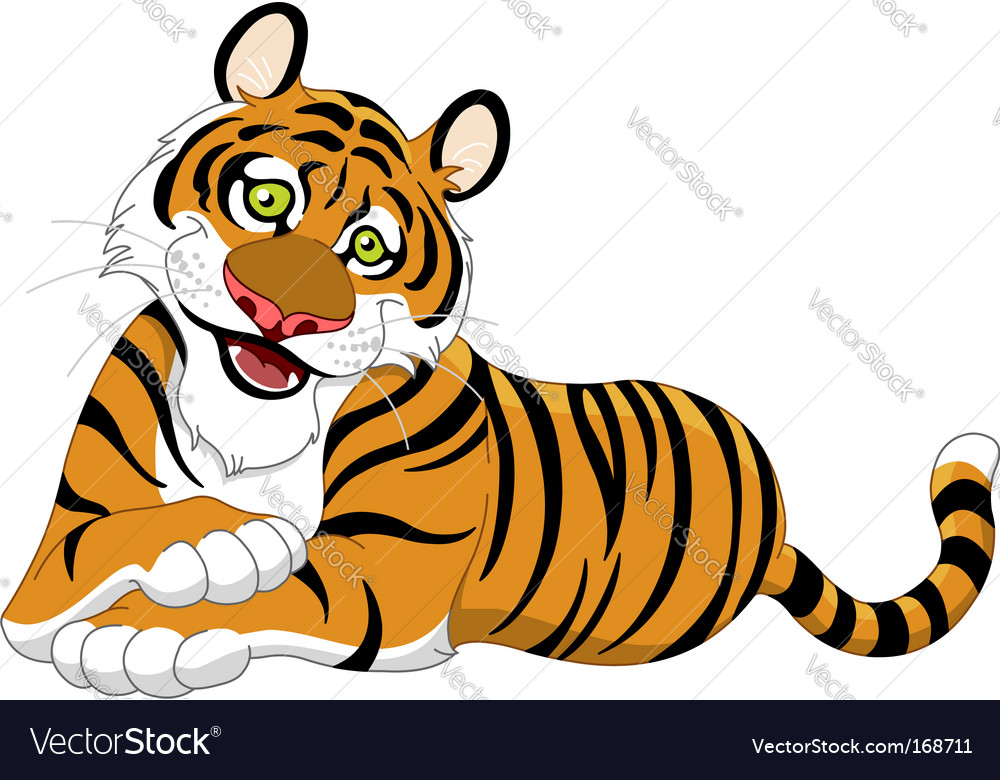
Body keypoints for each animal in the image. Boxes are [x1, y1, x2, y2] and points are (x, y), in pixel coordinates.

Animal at [2, 3, 995, 698]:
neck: (249, 429)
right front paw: (212, 542)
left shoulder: (378, 577)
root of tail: (776, 522)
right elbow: (86, 559)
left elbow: (277, 592)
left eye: (370, 247)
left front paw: (141, 631)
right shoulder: (55, 549)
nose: (281, 314)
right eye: (268, 198)